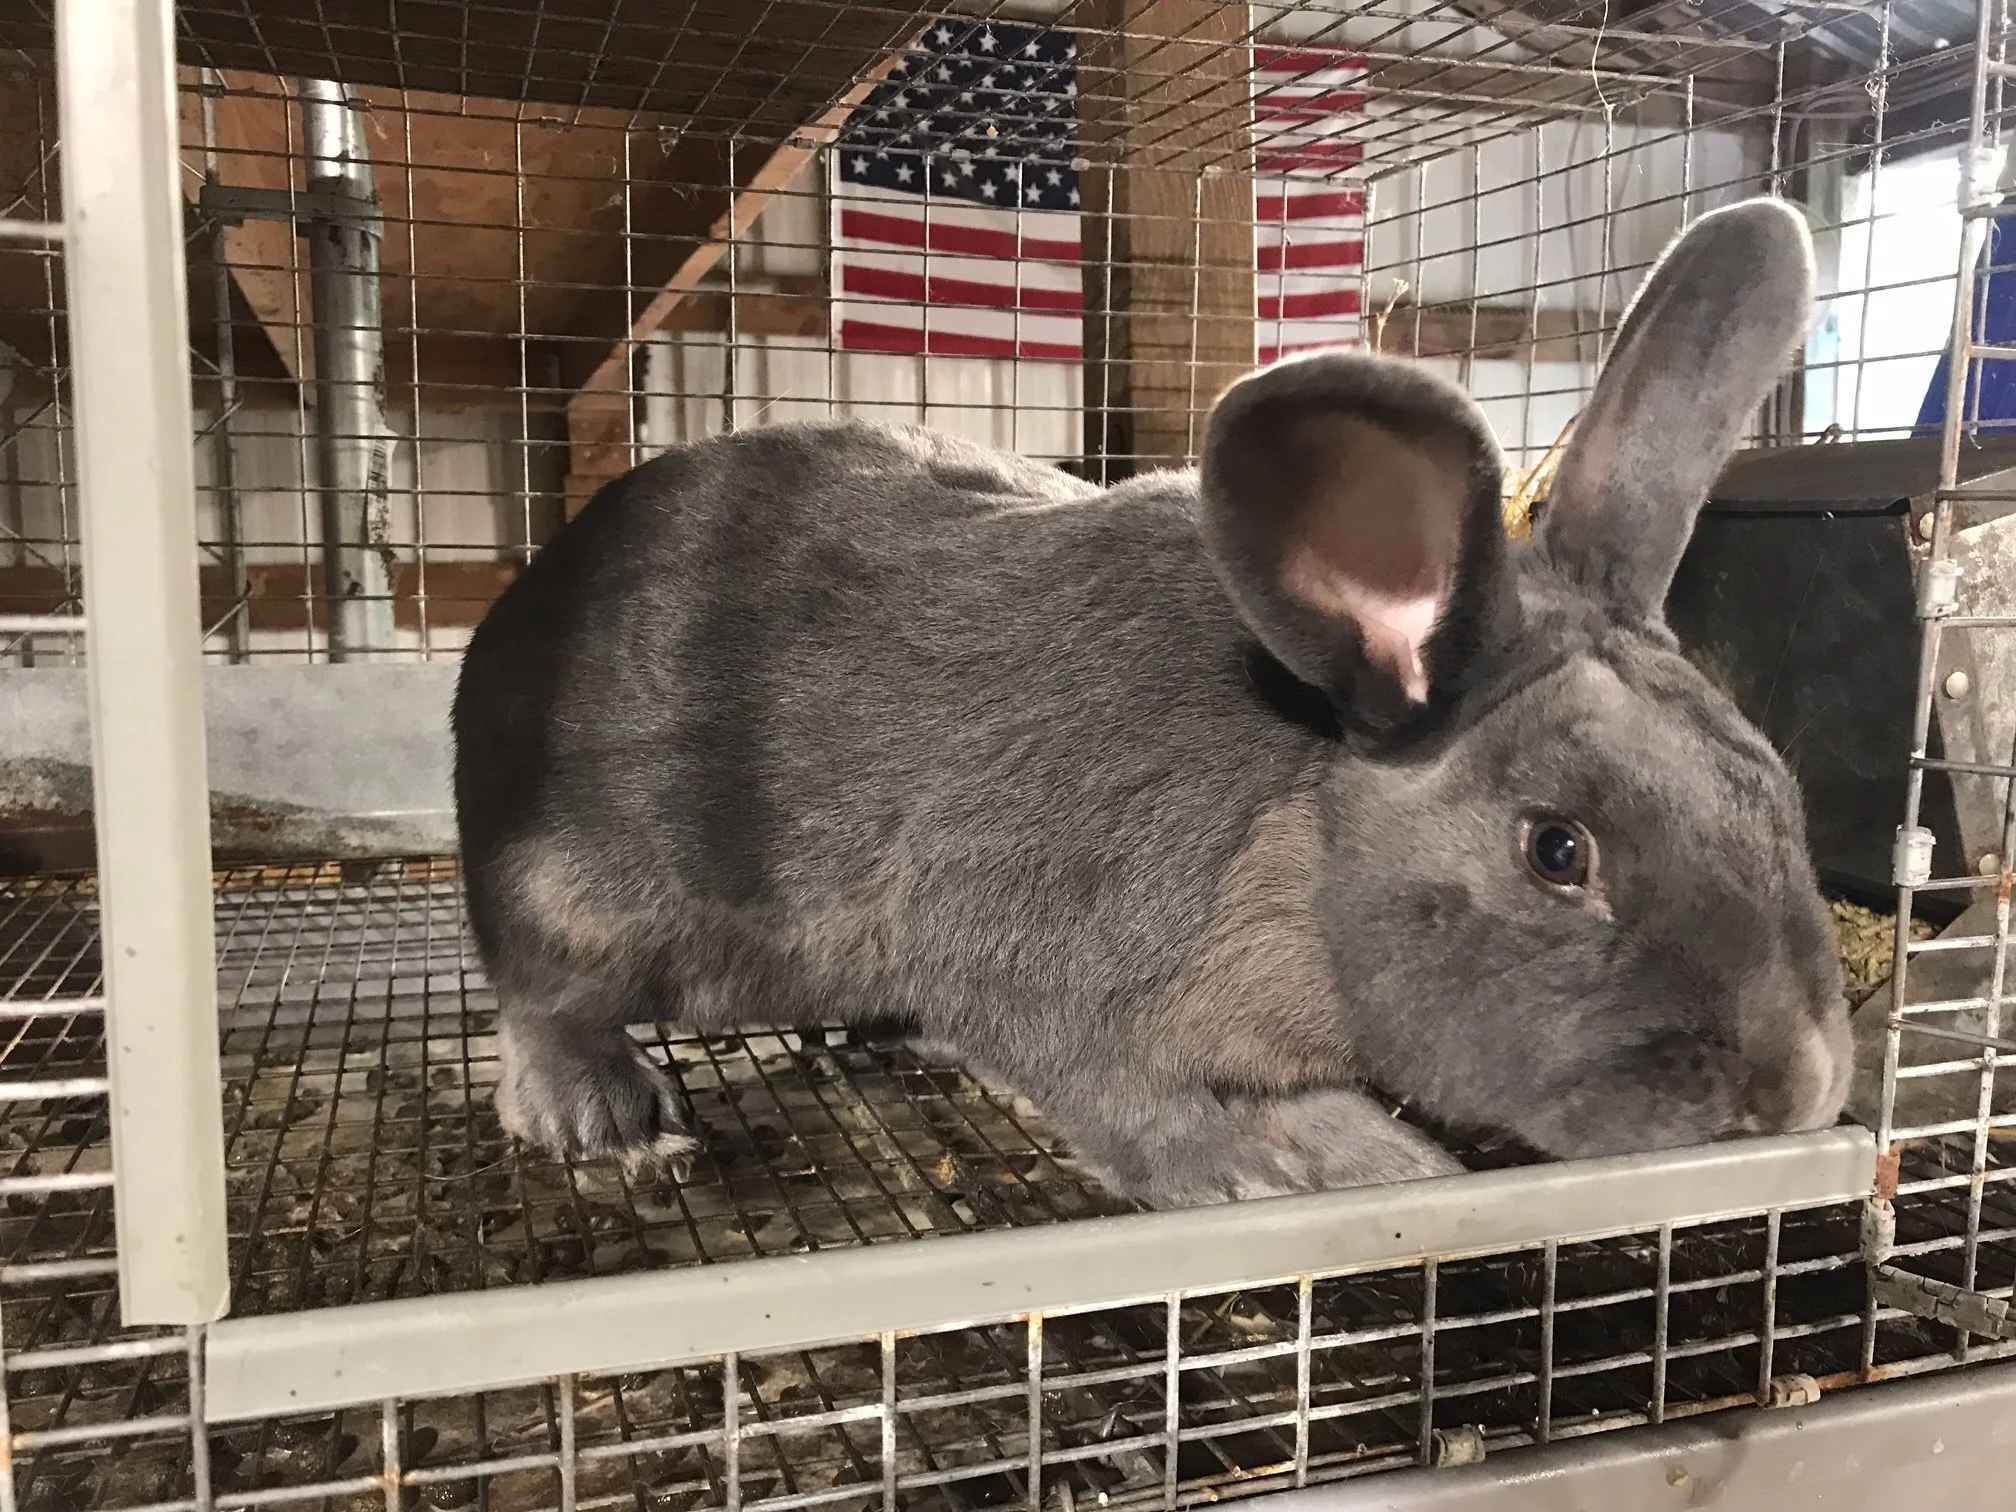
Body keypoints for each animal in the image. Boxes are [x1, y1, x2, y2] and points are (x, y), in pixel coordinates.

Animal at [451, 196, 1853, 1209]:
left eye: (1777, 791)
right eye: (1558, 851)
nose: (1794, 1093)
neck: (1307, 812)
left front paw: (1365, 1152)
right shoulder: (1036, 967)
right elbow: (1129, 1101)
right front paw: (1257, 1172)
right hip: (578, 888)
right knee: (543, 996)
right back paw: (599, 1111)